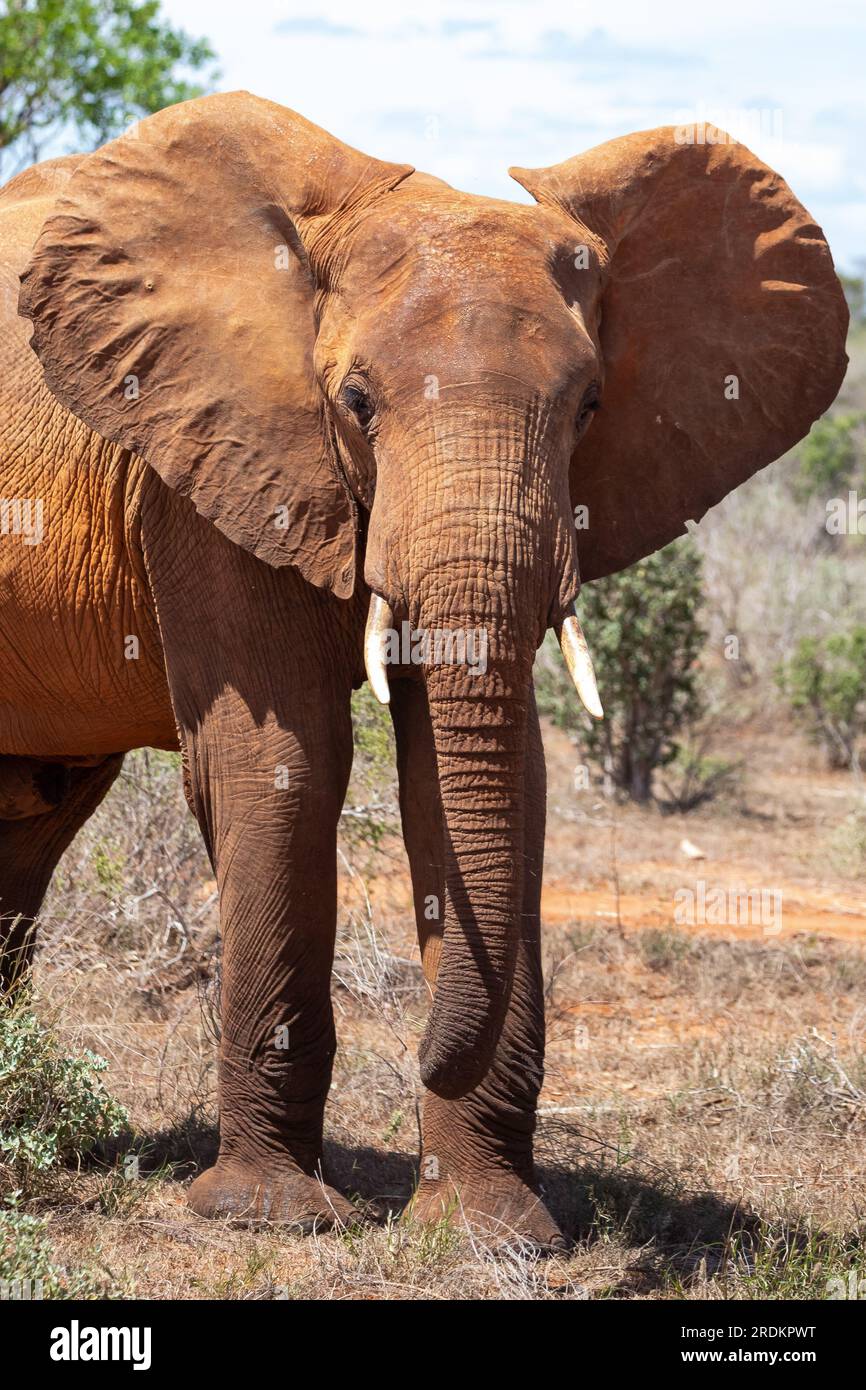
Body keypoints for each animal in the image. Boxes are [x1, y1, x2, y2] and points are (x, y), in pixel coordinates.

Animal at [0, 92, 847, 1249]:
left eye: (589, 407)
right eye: (356, 402)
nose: (420, 1051)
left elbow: (472, 780)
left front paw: (490, 1232)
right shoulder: (202, 459)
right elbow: (282, 760)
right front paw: (267, 1218)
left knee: (32, 811)